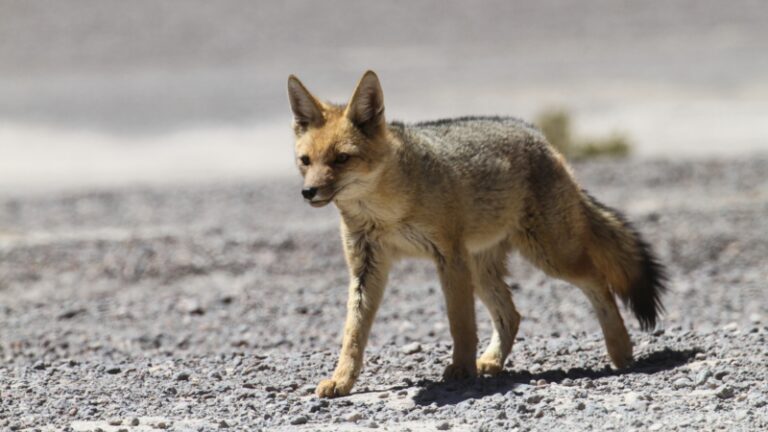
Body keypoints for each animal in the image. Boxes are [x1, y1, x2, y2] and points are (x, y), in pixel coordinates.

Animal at [287, 70, 666, 398]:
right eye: (305, 161)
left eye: (341, 159)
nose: (307, 192)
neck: (386, 212)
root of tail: (541, 139)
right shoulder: (366, 267)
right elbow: (353, 332)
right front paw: (342, 380)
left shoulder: (449, 258)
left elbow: (460, 323)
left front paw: (460, 368)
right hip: (483, 270)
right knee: (512, 314)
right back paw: (493, 361)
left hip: (551, 257)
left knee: (599, 283)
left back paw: (621, 352)